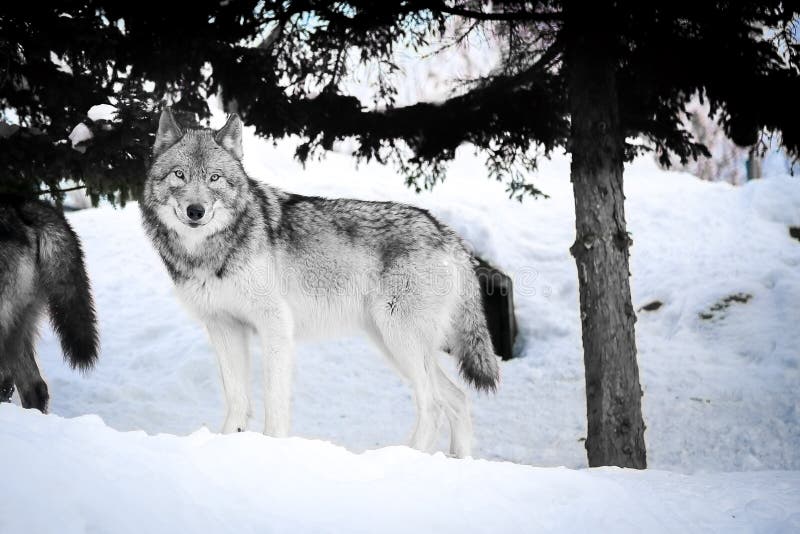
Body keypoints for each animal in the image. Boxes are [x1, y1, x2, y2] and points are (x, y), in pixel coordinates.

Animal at [141, 108, 499, 457]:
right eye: (179, 175)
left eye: (214, 178)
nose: (196, 211)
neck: (208, 253)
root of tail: (448, 234)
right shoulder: (223, 326)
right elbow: (237, 400)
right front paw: (229, 444)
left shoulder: (275, 325)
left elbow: (273, 399)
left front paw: (271, 448)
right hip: (392, 344)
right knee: (457, 398)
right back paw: (458, 460)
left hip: (400, 340)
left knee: (434, 404)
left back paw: (403, 457)